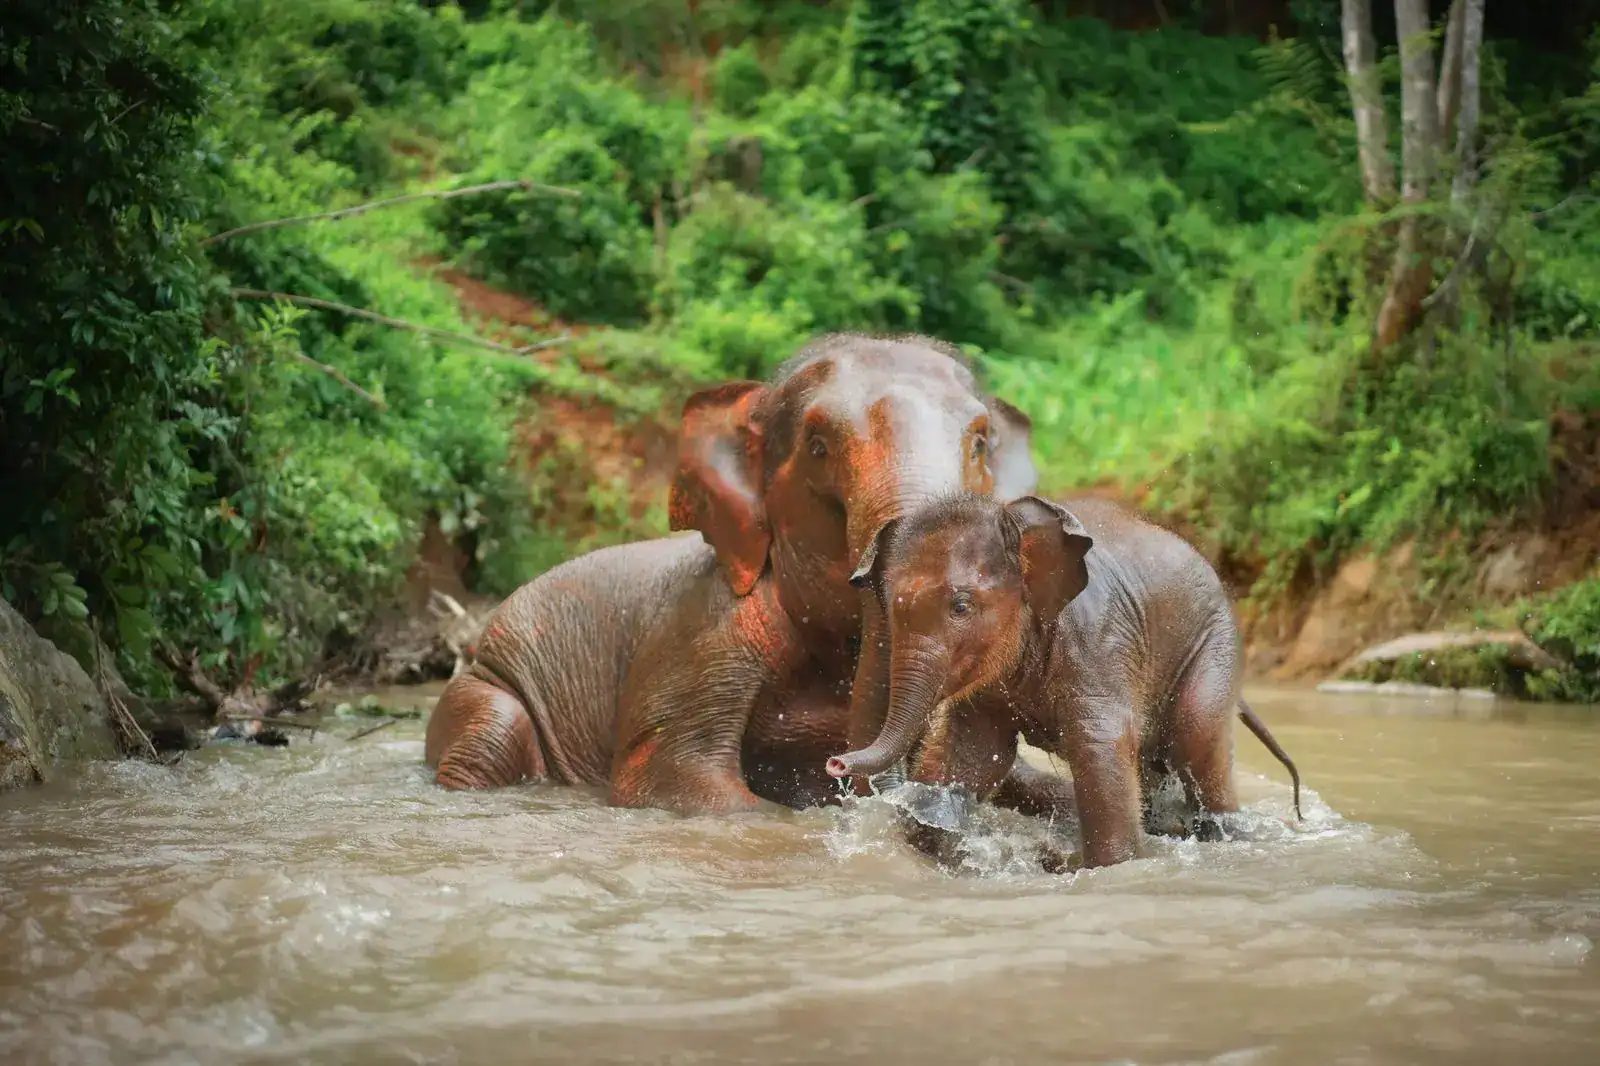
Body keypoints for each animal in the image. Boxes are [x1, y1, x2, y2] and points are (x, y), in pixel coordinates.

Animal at [423, 332, 1059, 815]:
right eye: (818, 446)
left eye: (980, 443)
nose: (840, 769)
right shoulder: (702, 630)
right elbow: (669, 778)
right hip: (486, 687)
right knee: (490, 735)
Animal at [825, 492, 1303, 869]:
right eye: (889, 609)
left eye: (961, 606)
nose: (835, 764)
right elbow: (971, 753)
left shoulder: (1099, 644)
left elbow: (1101, 747)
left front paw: (1113, 867)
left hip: (1214, 645)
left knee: (1197, 739)